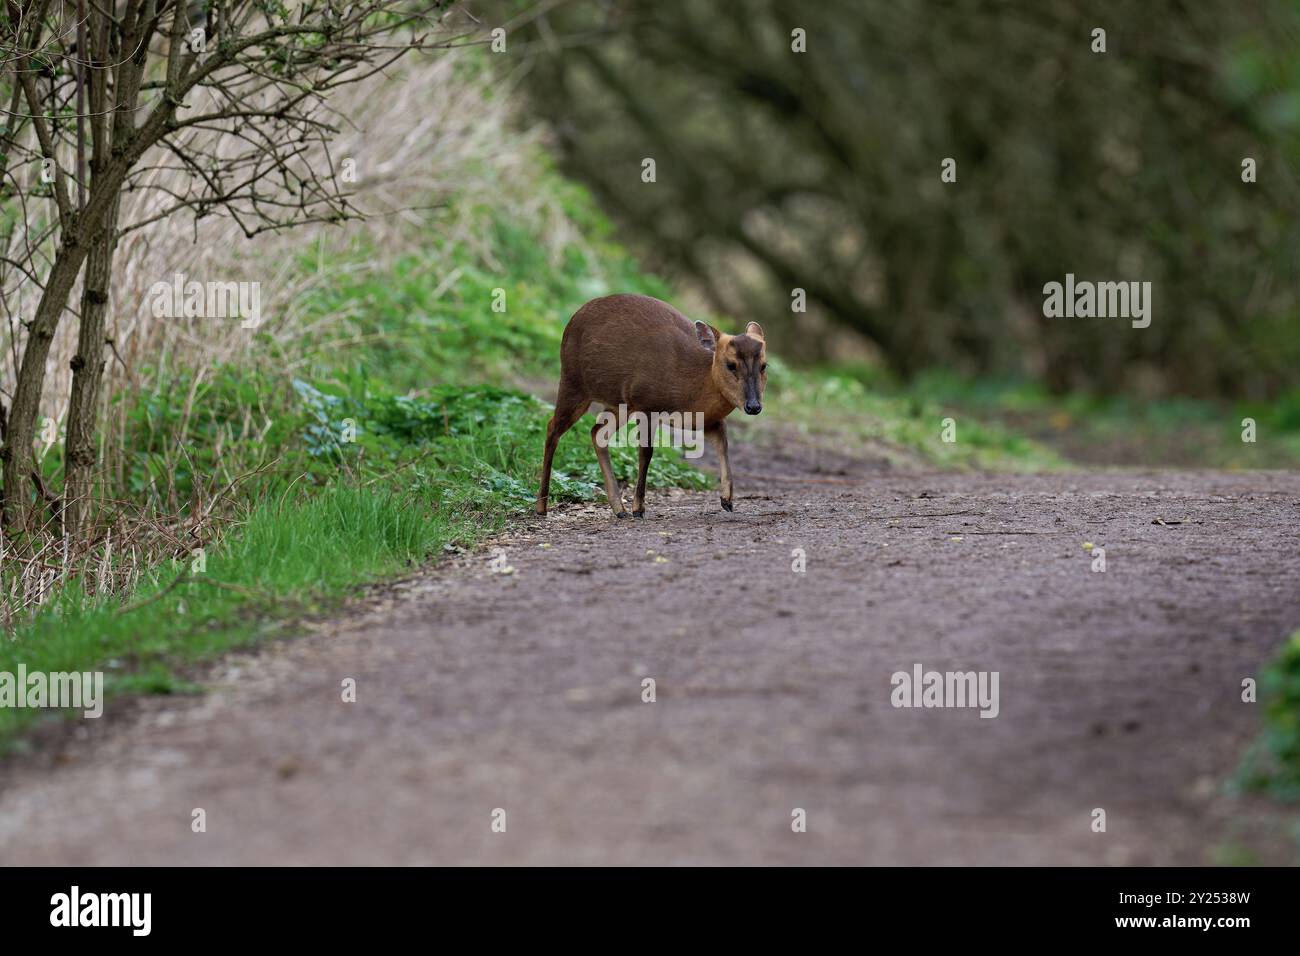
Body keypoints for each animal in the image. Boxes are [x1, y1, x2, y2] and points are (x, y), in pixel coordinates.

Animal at [536, 294, 767, 519]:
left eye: (764, 365)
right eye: (730, 365)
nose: (753, 406)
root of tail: (571, 321)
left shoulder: (708, 419)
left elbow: (723, 445)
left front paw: (727, 500)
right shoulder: (647, 404)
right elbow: (646, 452)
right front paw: (639, 508)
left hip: (620, 404)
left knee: (597, 432)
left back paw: (618, 509)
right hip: (573, 381)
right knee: (552, 427)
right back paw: (541, 506)